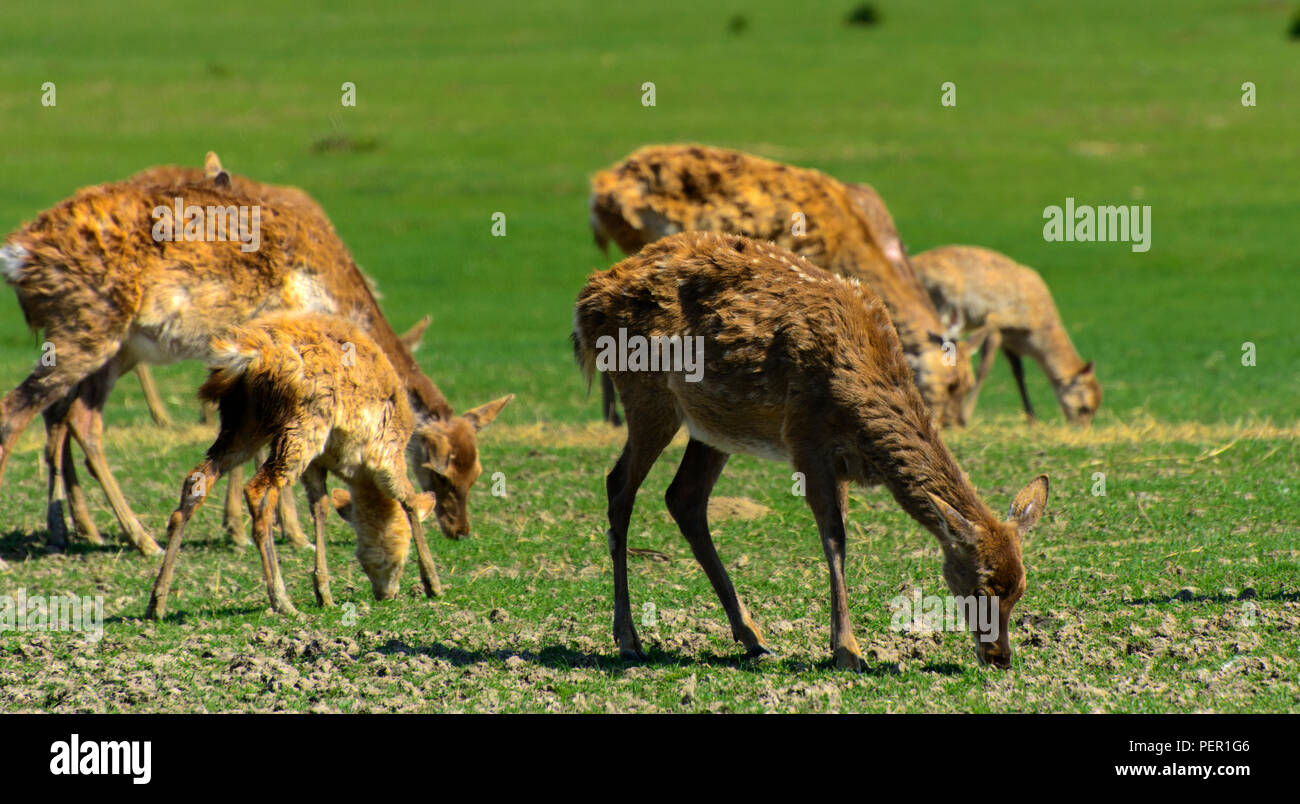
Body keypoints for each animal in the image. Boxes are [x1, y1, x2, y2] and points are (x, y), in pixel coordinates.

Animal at [0, 170, 512, 559]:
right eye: (439, 470)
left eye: (477, 472)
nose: (460, 529)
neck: (331, 293)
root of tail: (17, 254)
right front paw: (290, 535)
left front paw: (254, 530)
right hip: (85, 328)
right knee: (19, 410)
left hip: (114, 345)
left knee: (76, 418)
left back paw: (118, 535)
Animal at [146, 313, 441, 618]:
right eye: (400, 553)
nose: (386, 594)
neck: (358, 476)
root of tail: (246, 357)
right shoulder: (386, 455)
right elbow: (408, 500)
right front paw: (433, 583)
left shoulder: (317, 464)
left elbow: (320, 507)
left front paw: (324, 593)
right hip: (301, 427)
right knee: (258, 491)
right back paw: (282, 600)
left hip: (242, 422)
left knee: (196, 480)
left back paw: (157, 602)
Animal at [573, 232, 1049, 670]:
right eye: (981, 586)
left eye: (1021, 587)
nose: (1000, 656)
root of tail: (586, 301)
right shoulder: (807, 438)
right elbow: (835, 537)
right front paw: (847, 650)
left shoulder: (837, 457)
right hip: (646, 390)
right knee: (619, 486)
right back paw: (628, 638)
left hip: (714, 425)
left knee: (684, 497)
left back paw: (752, 637)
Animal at [911, 245, 1101, 425]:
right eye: (1085, 408)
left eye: (1095, 410)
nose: (1081, 430)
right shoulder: (996, 323)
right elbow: (984, 368)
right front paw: (965, 416)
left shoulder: (1010, 341)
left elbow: (1019, 373)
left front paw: (1033, 420)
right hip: (942, 304)